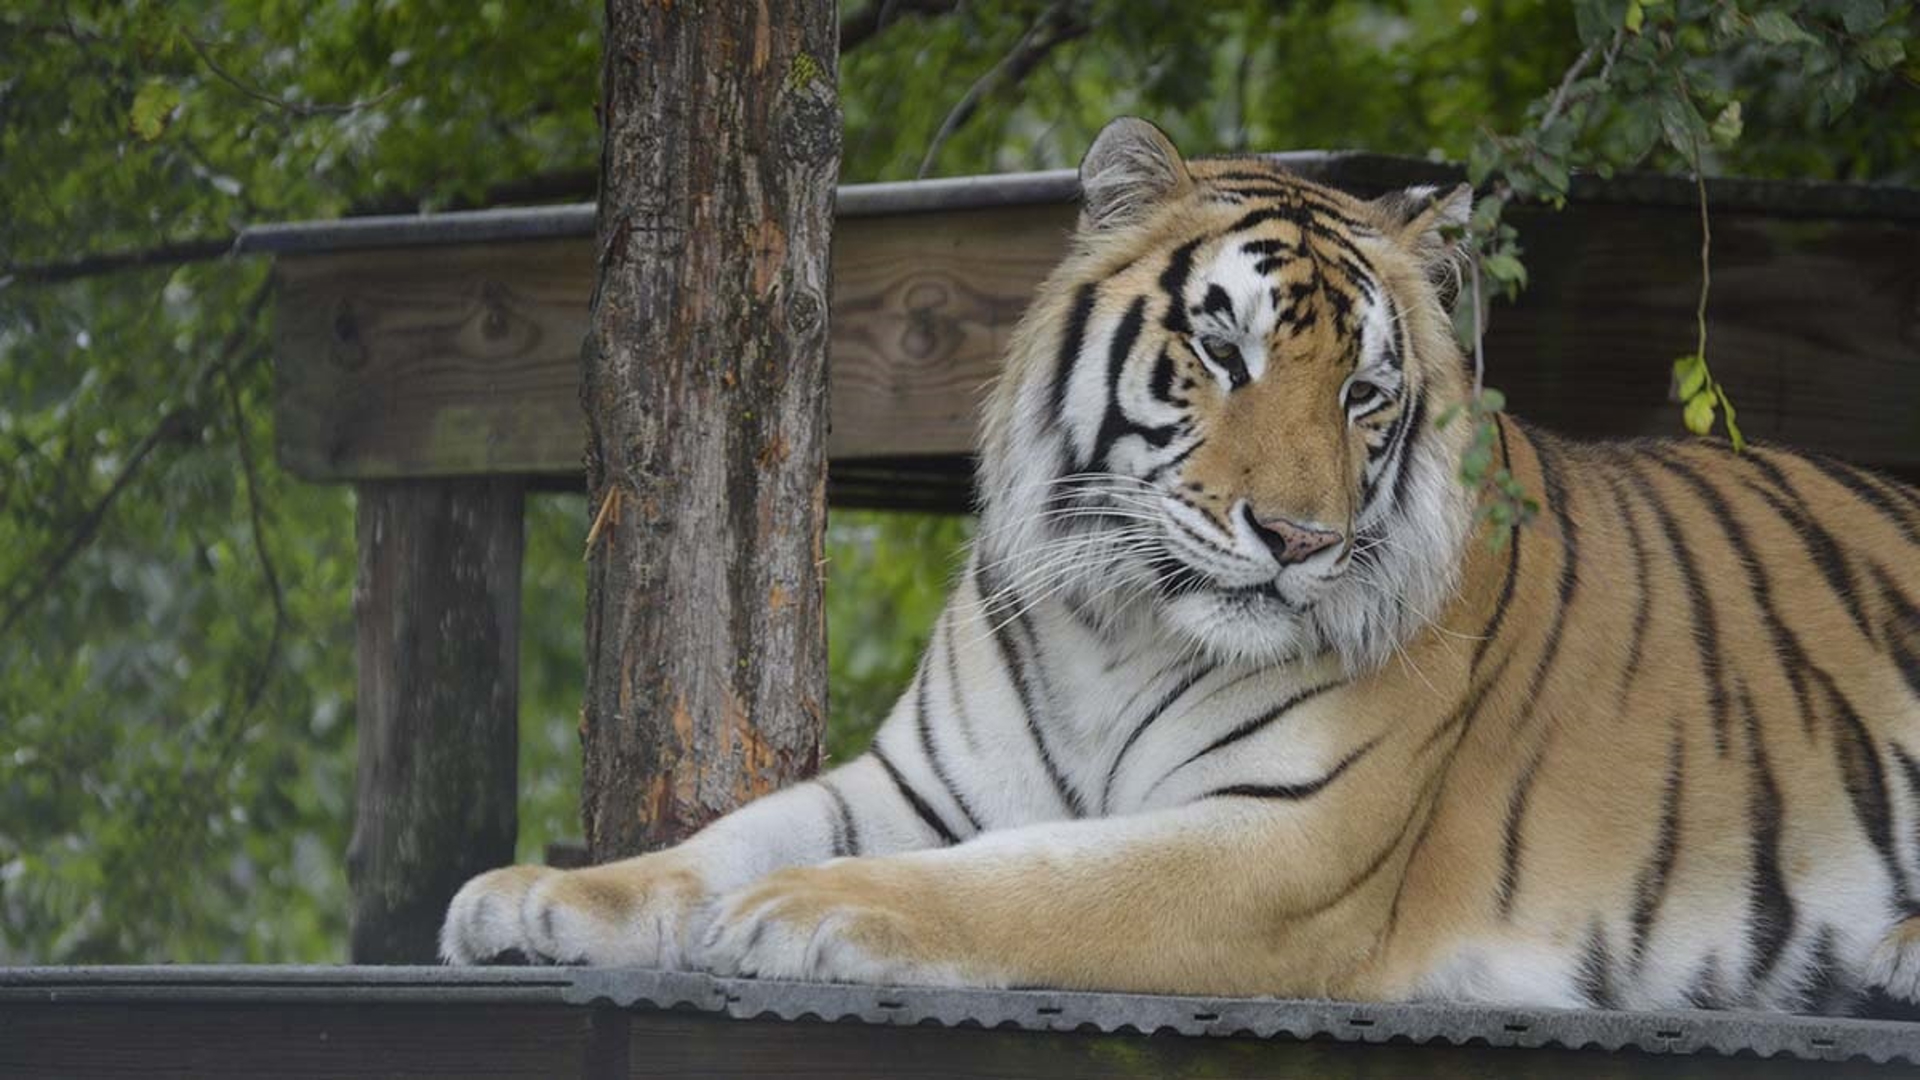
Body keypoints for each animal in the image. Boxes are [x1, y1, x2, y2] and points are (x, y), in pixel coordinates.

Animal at [441, 117, 1920, 1014]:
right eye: (1222, 353)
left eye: (1366, 393)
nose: (1301, 539)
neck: (1122, 624)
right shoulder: (919, 782)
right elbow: (725, 834)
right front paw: (540, 899)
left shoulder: (1282, 840)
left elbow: (1033, 879)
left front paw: (800, 913)